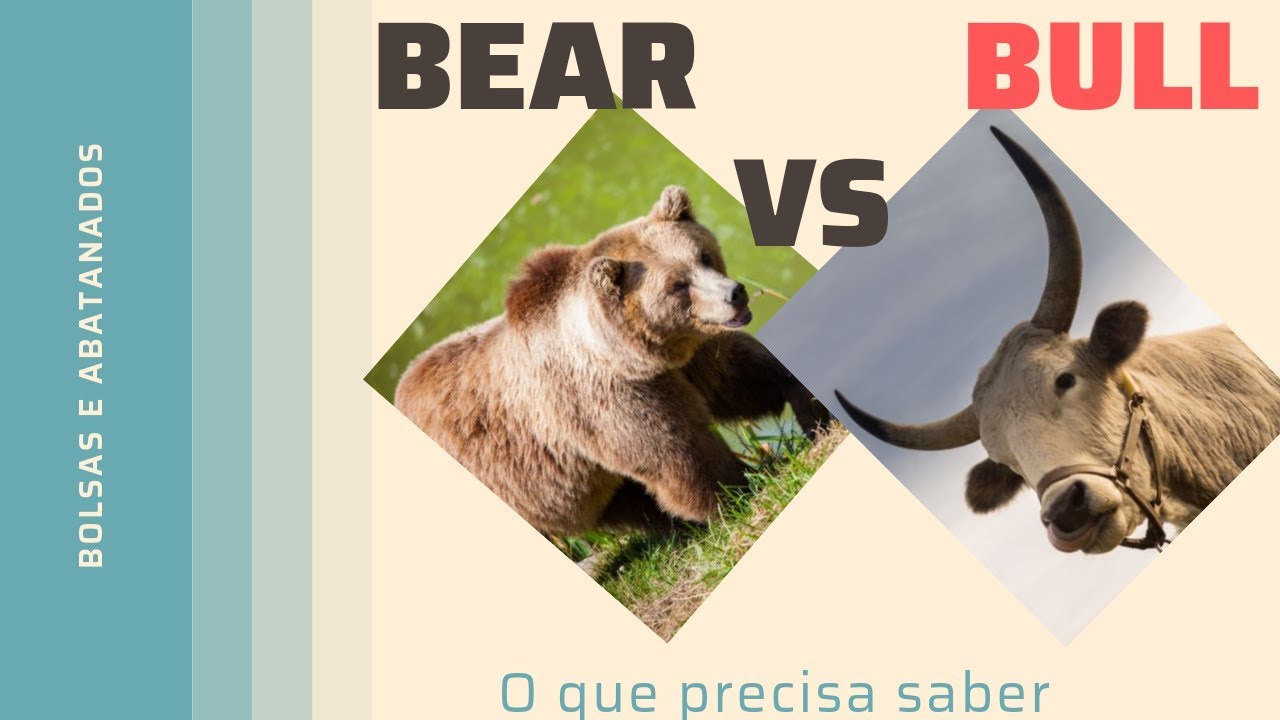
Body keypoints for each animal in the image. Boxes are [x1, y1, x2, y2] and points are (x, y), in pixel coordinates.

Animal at [395, 186, 828, 536]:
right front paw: (735, 495)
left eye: (704, 255)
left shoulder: (685, 356)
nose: (735, 294)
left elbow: (739, 377)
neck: (627, 351)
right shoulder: (605, 398)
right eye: (677, 285)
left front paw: (810, 406)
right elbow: (677, 449)